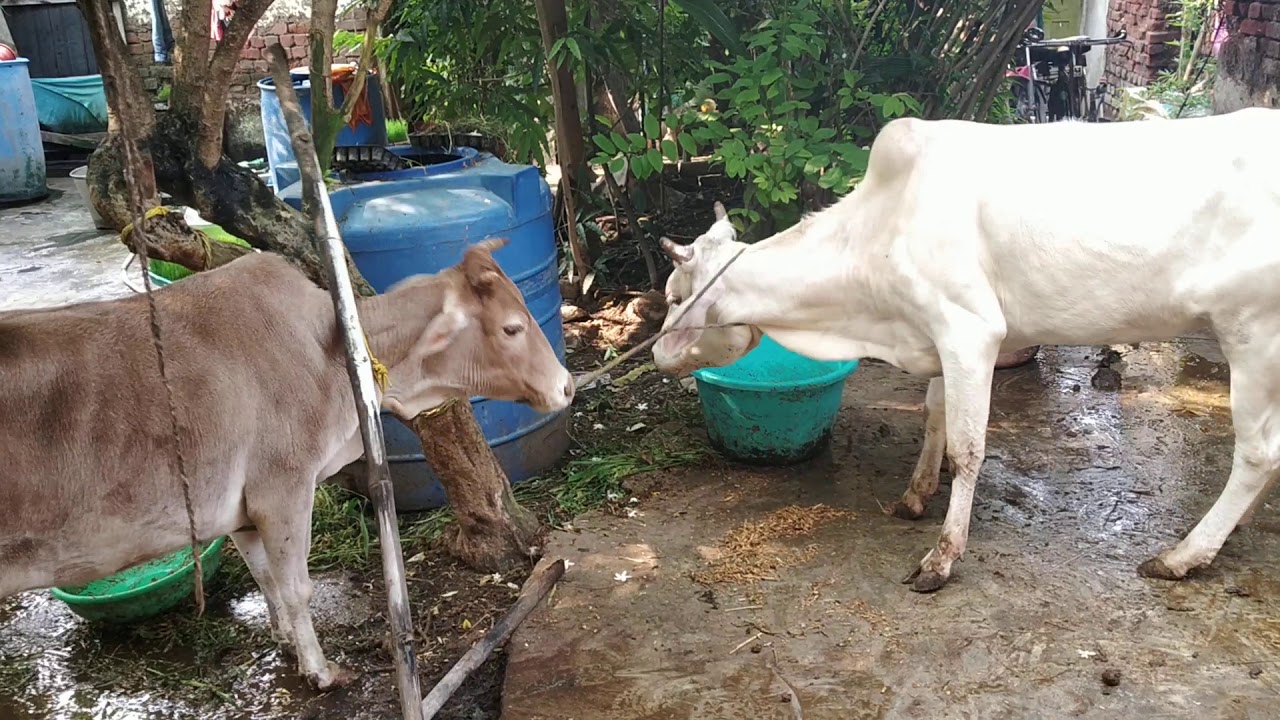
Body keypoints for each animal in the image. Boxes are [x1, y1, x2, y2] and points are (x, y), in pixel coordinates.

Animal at [0, 239, 573, 689]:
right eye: (512, 328)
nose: (567, 386)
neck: (339, 357)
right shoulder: (282, 490)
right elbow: (297, 588)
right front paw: (320, 670)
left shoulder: (239, 511)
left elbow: (266, 578)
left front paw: (286, 642)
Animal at [652, 108, 1280, 594]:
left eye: (677, 295)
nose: (656, 355)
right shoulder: (937, 334)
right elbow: (934, 415)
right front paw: (914, 495)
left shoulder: (970, 330)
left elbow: (969, 447)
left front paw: (943, 556)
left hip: (1253, 335)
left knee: (1256, 454)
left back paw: (1186, 554)